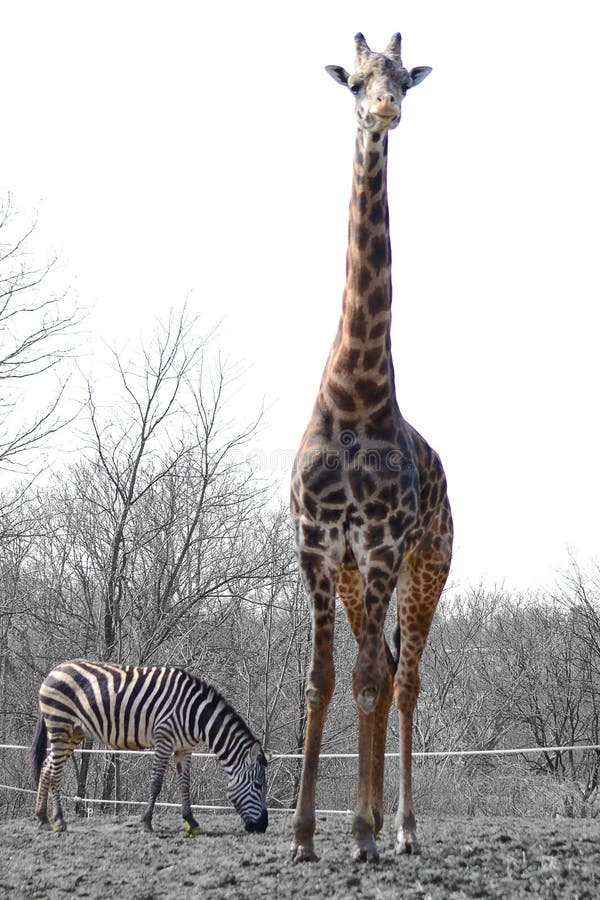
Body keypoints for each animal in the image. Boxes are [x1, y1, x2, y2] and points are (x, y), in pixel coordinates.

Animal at [30, 660, 269, 835]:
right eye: (258, 785)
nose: (263, 827)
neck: (195, 714)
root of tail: (55, 670)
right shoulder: (164, 740)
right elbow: (156, 783)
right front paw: (146, 823)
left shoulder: (184, 749)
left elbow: (185, 785)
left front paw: (191, 822)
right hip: (60, 725)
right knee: (56, 771)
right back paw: (59, 821)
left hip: (73, 732)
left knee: (47, 766)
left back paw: (42, 818)